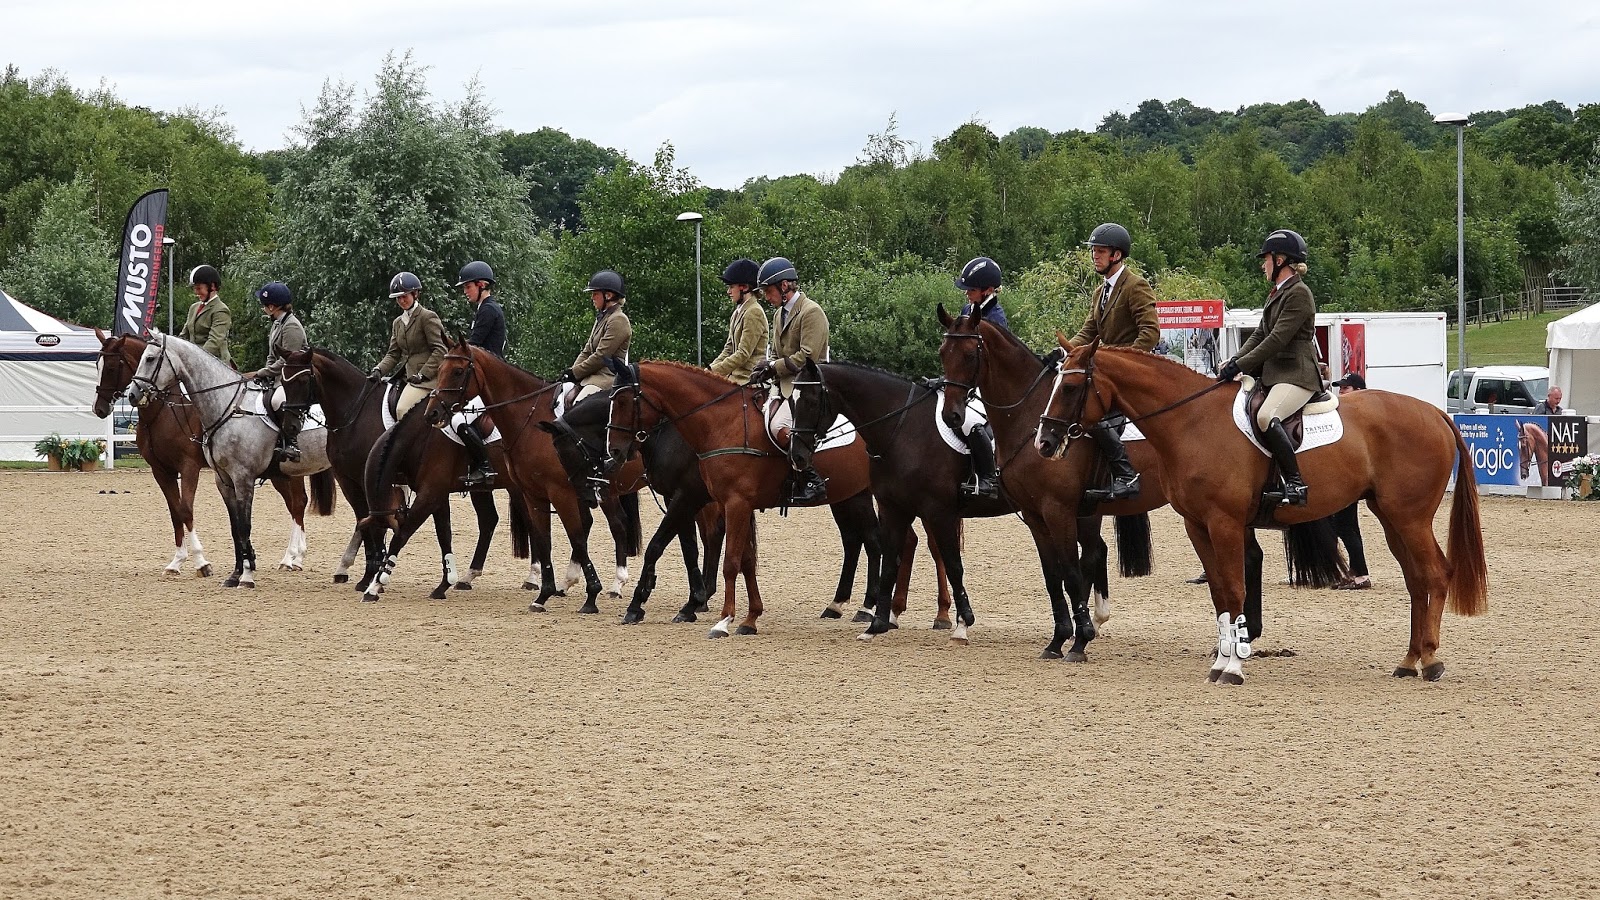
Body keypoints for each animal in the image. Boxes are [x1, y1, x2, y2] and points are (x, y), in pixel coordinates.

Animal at [125, 331, 345, 588]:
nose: (132, 394)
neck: (227, 406)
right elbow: (234, 527)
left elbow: (243, 525)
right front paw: (235, 574)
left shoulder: (240, 478)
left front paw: (246, 576)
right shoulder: (223, 480)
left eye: (150, 358)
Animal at [419, 339, 637, 613]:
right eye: (440, 369)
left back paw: (616, 584)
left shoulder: (560, 492)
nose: (432, 413)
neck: (530, 419)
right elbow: (544, 538)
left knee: (617, 524)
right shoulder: (534, 493)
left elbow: (575, 535)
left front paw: (591, 595)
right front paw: (544, 594)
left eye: (458, 371)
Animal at [598, 359, 887, 638]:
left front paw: (720, 619)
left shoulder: (713, 500)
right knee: (854, 541)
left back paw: (867, 608)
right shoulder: (733, 504)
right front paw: (749, 619)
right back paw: (838, 605)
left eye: (622, 401)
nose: (614, 451)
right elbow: (744, 561)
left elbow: (719, 559)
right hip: (848, 496)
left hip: (858, 497)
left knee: (873, 541)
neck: (722, 423)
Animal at [1035, 339, 1489, 684]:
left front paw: (1234, 668)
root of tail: (1435, 412)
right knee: (1416, 580)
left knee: (1435, 574)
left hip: (1410, 517)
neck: (1191, 421)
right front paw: (1222, 660)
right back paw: (1409, 661)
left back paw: (1430, 661)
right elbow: (1219, 592)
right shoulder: (1197, 525)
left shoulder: (1225, 523)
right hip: (1392, 517)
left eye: (1070, 387)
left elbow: (1235, 588)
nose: (1044, 442)